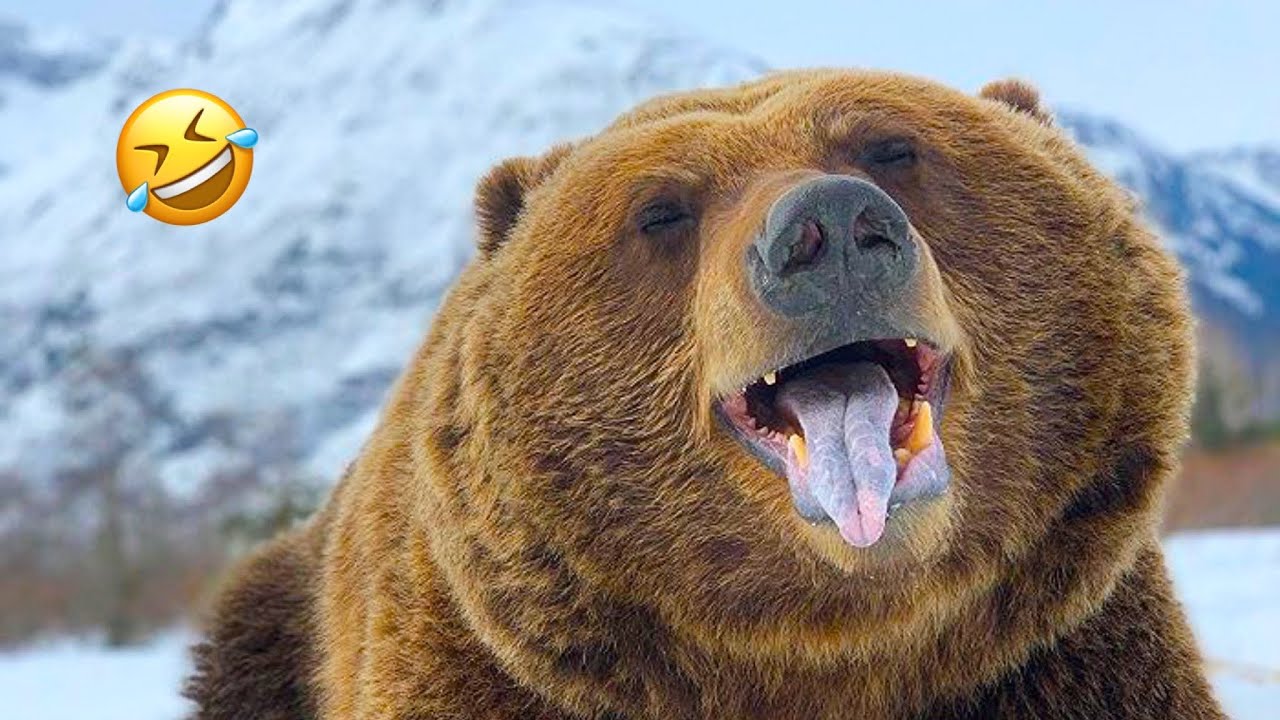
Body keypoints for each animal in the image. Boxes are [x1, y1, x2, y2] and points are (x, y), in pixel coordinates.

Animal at [185, 70, 1224, 719]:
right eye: (661, 211)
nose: (826, 231)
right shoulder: (495, 669)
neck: (835, 651)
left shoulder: (1063, 660)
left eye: (893, 147)